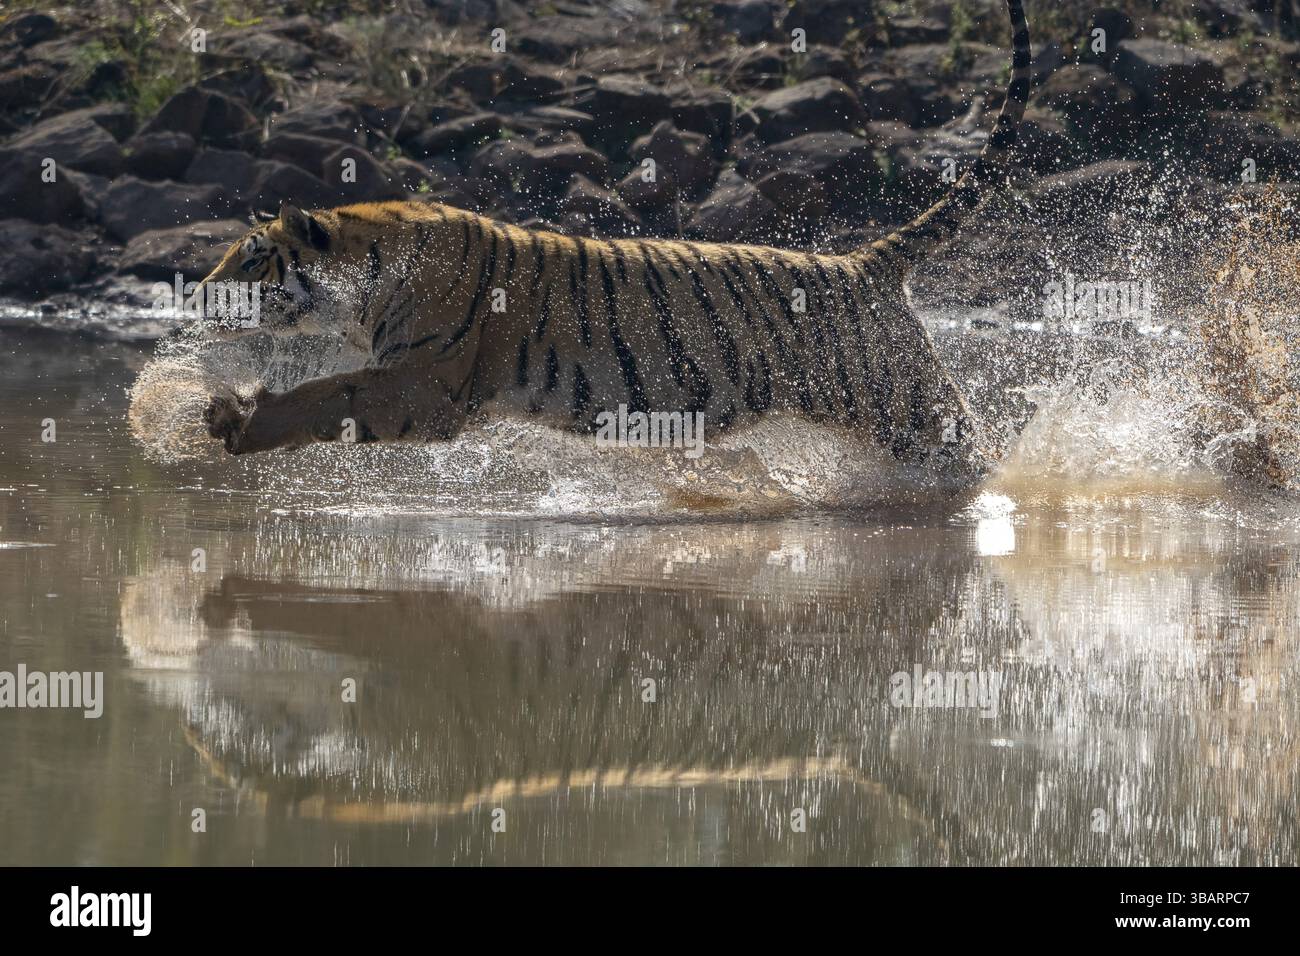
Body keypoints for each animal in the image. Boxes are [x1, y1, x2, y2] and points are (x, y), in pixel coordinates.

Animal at [199, 0, 1033, 491]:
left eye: (249, 257)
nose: (201, 292)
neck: (366, 279)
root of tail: (864, 262)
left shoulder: (423, 386)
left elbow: (323, 396)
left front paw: (239, 422)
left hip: (907, 406)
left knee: (973, 455)